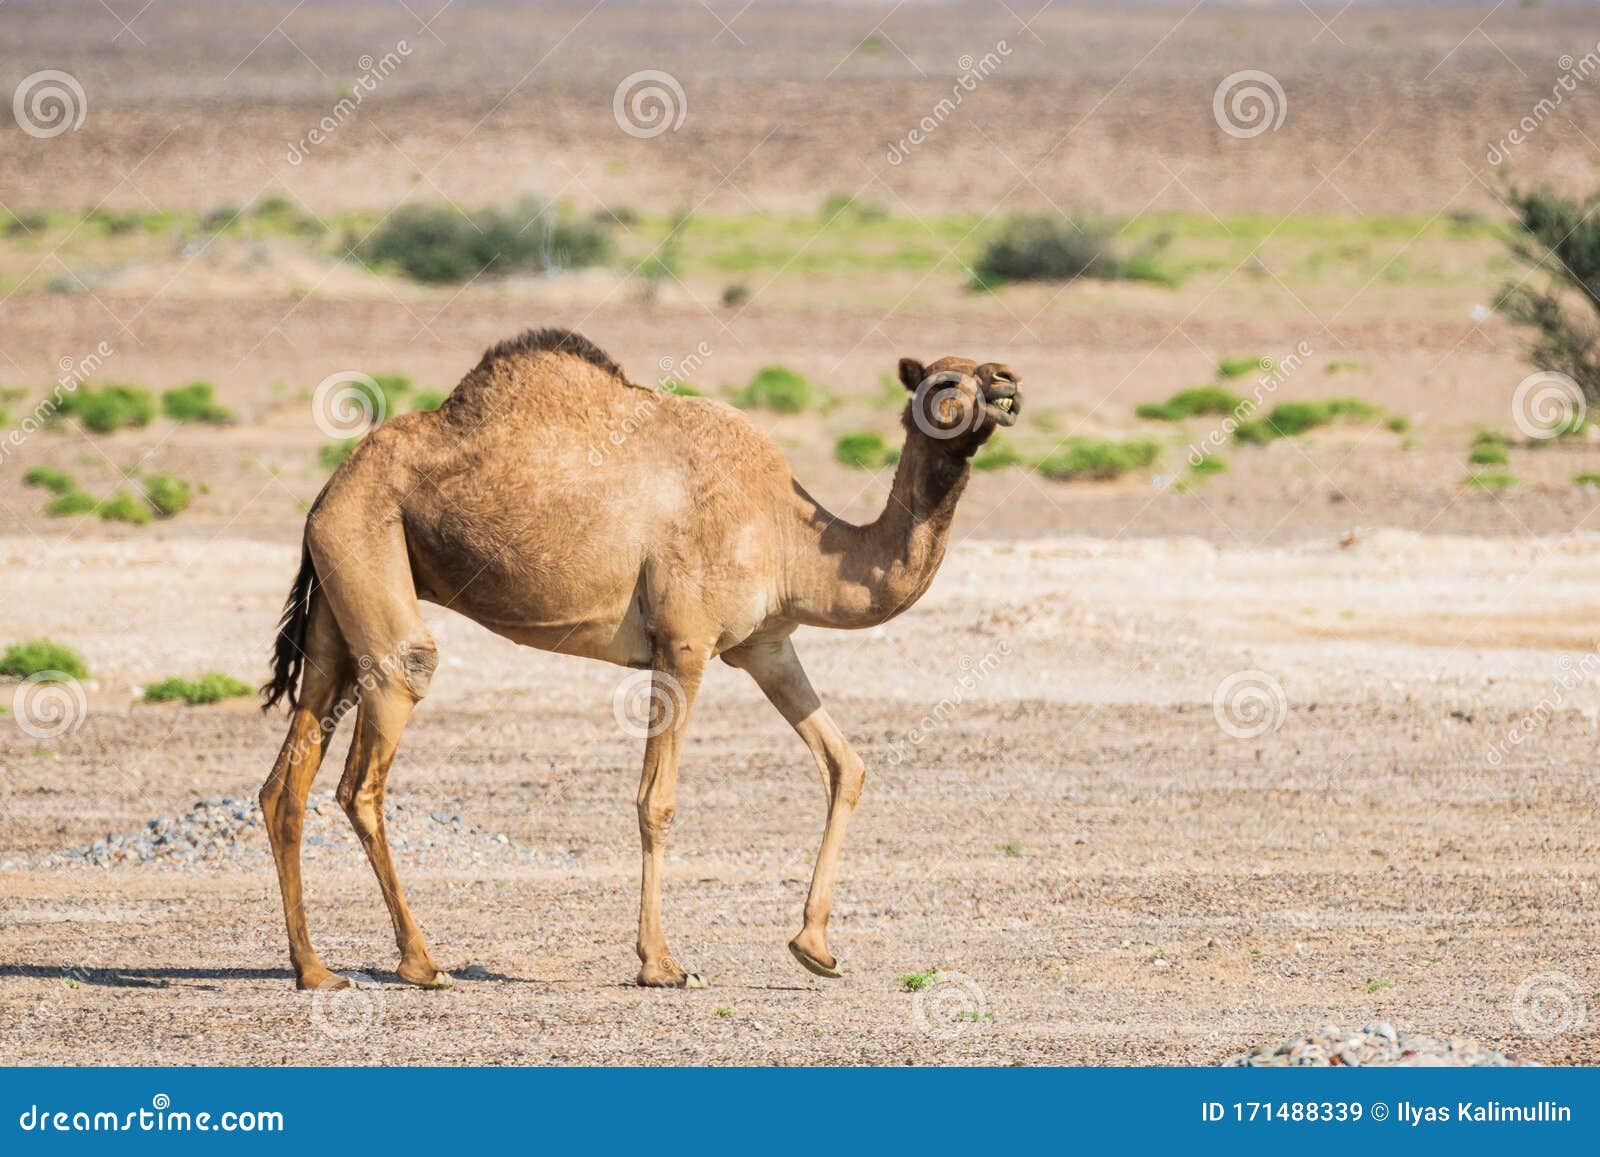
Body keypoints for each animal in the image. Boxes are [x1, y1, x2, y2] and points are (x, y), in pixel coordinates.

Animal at [258, 328, 1020, 991]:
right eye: (945, 381)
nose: (1008, 381)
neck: (789, 536)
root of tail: (325, 491)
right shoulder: (683, 644)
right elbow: (657, 801)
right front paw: (662, 964)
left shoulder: (764, 645)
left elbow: (845, 765)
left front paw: (815, 948)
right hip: (370, 549)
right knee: (372, 757)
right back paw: (422, 963)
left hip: (336, 607)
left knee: (286, 780)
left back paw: (315, 970)